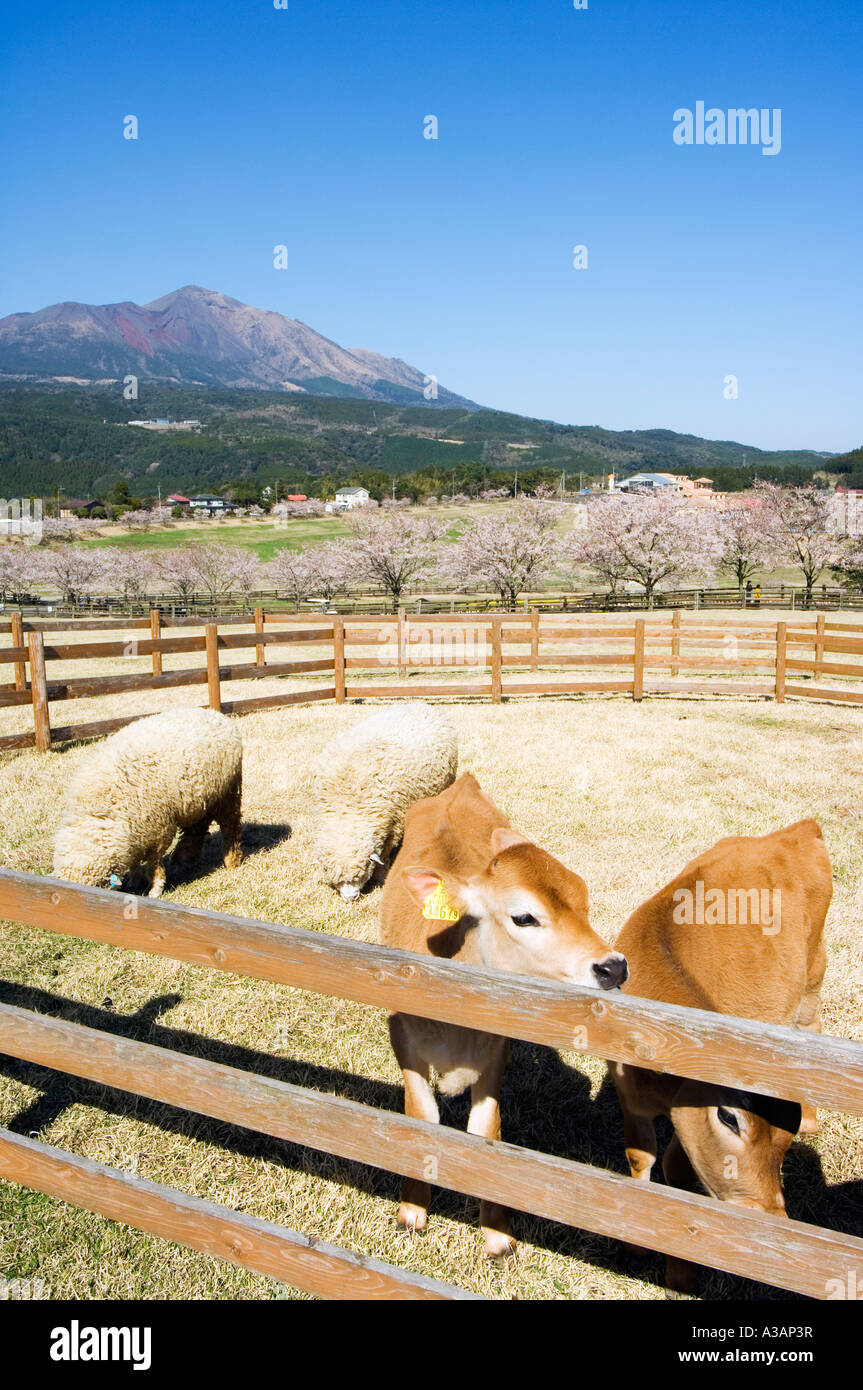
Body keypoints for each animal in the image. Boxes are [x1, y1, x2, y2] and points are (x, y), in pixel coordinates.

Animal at [53, 706, 243, 898]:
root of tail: (215, 714)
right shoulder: (135, 831)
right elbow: (135, 860)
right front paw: (134, 881)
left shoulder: (159, 830)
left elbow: (154, 864)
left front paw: (155, 889)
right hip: (198, 799)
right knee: (198, 826)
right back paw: (184, 857)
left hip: (227, 793)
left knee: (230, 826)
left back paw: (231, 860)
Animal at [313, 703, 458, 900]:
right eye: (336, 876)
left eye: (362, 872)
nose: (351, 898)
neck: (347, 808)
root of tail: (421, 704)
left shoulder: (393, 824)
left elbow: (384, 856)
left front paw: (383, 878)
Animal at [380, 771, 627, 1257]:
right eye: (524, 917)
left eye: (584, 900)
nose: (613, 967)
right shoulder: (403, 1035)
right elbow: (422, 1117)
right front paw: (412, 1210)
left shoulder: (495, 1047)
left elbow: (486, 1130)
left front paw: (496, 1231)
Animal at [609, 818, 831, 1293]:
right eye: (729, 1117)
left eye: (785, 1141)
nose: (768, 1217)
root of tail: (798, 830)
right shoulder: (627, 1092)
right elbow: (640, 1156)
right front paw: (635, 1245)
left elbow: (677, 1170)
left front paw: (681, 1272)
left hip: (813, 974)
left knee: (812, 1030)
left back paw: (813, 1117)